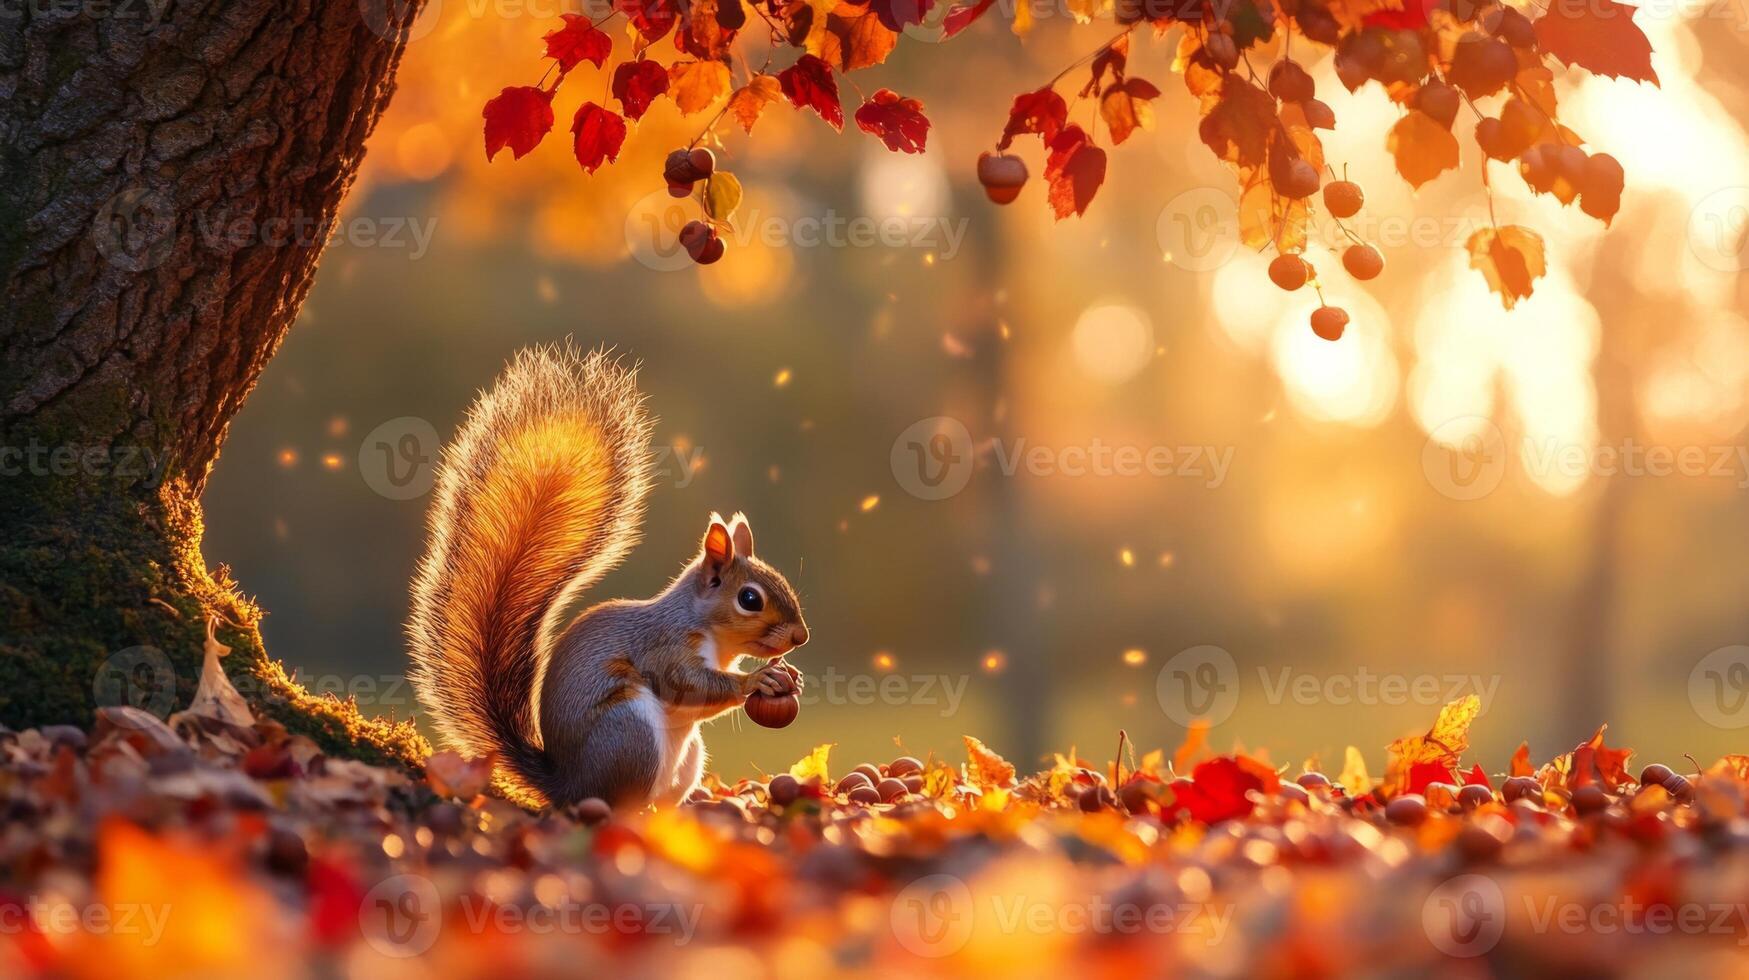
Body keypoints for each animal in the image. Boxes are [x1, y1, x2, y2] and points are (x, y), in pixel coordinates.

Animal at [406, 345, 809, 810]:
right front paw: (756, 680)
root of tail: (567, 785)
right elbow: (688, 686)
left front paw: (792, 677)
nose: (801, 637)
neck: (711, 634)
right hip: (629, 732)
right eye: (749, 599)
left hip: (687, 757)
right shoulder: (664, 648)